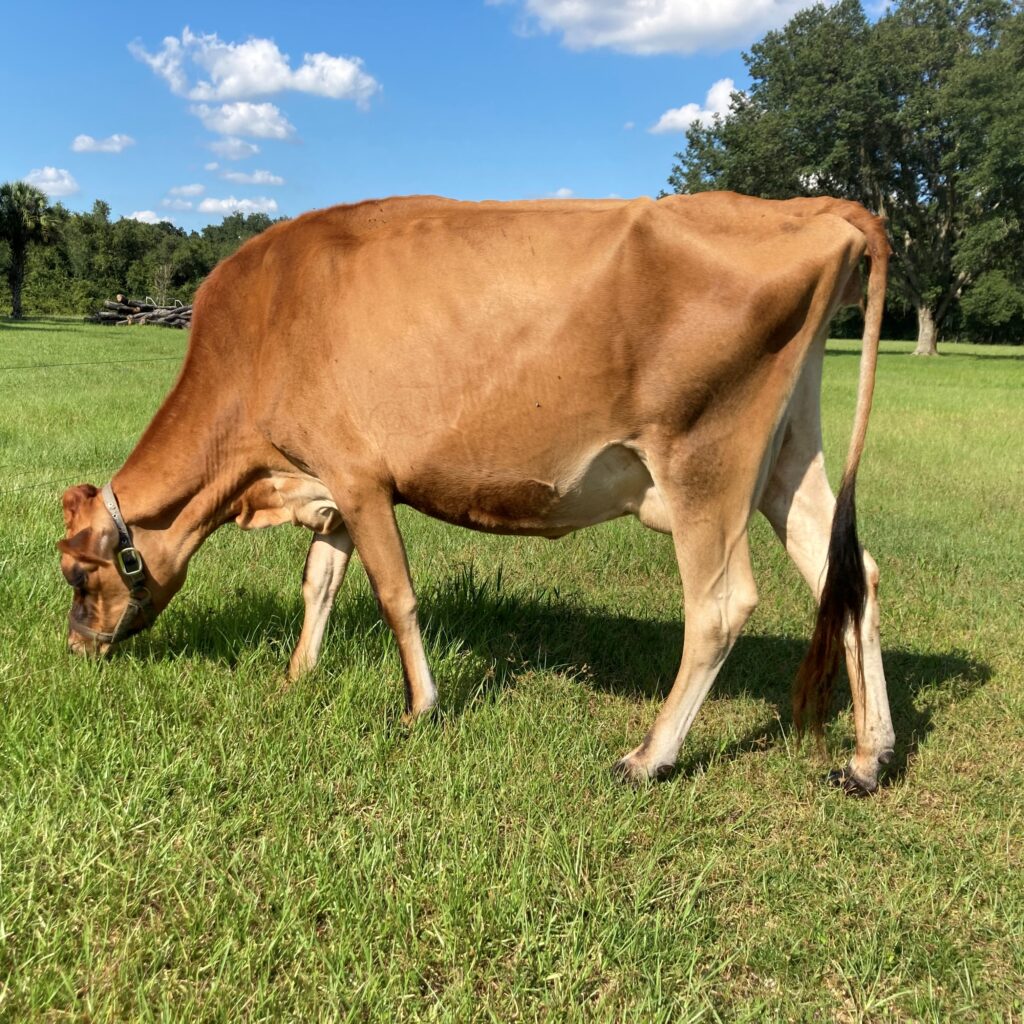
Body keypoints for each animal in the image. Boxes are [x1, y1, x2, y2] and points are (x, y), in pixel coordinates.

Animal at [58, 192, 895, 794]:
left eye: (77, 574)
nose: (76, 645)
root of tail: (812, 207)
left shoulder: (360, 476)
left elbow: (394, 594)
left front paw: (420, 708)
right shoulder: (329, 486)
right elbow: (318, 582)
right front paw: (297, 675)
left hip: (703, 458)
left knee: (721, 606)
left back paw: (648, 757)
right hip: (789, 456)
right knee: (848, 574)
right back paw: (868, 757)